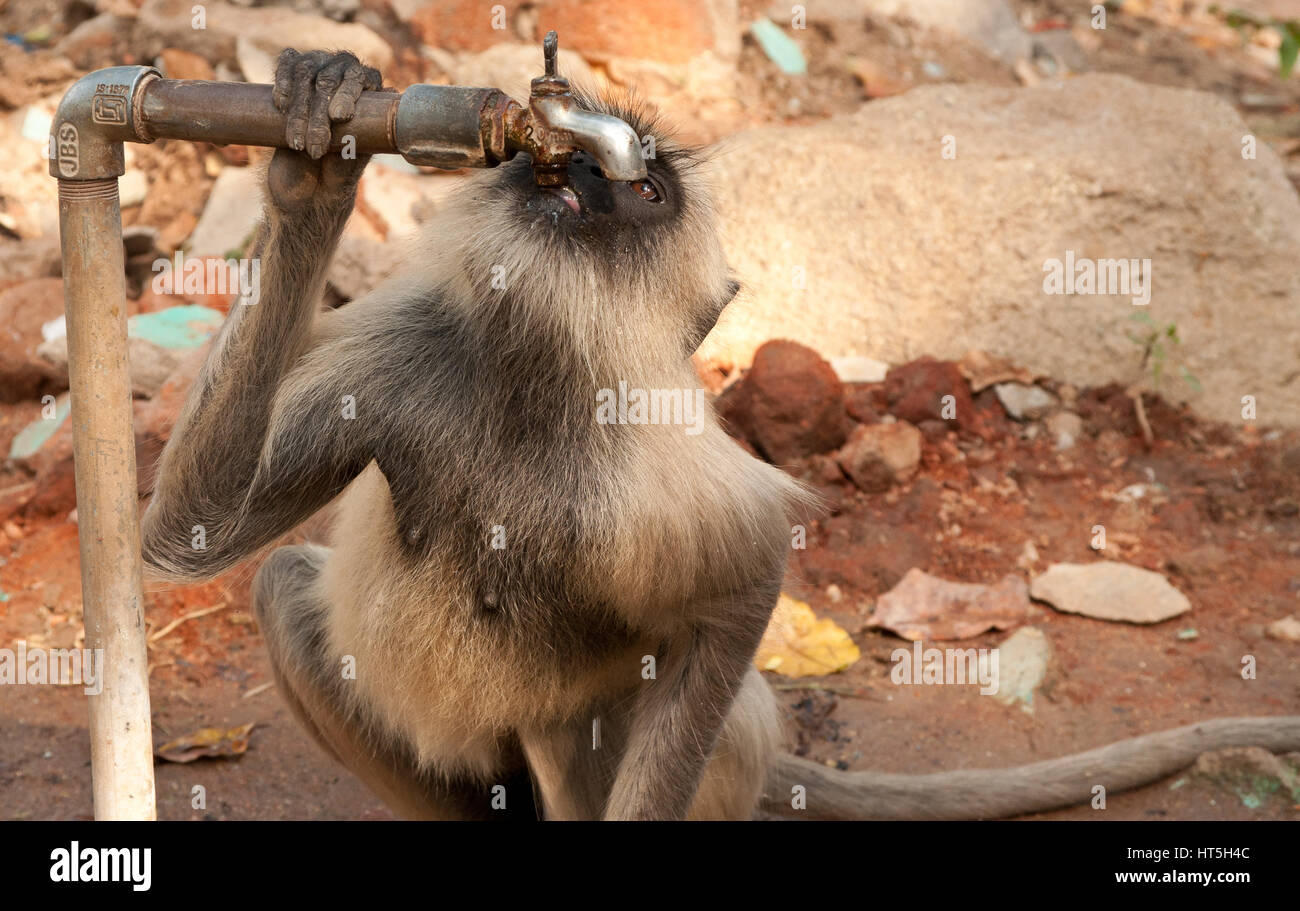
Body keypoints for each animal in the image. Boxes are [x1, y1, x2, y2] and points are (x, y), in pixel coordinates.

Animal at [139, 48, 1300, 821]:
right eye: (595, 161)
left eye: (644, 188)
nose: (575, 170)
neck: (533, 374)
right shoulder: (404, 347)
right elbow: (189, 536)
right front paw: (314, 156)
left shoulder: (667, 469)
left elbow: (739, 594)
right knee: (281, 583)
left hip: (648, 749)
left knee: (594, 721)